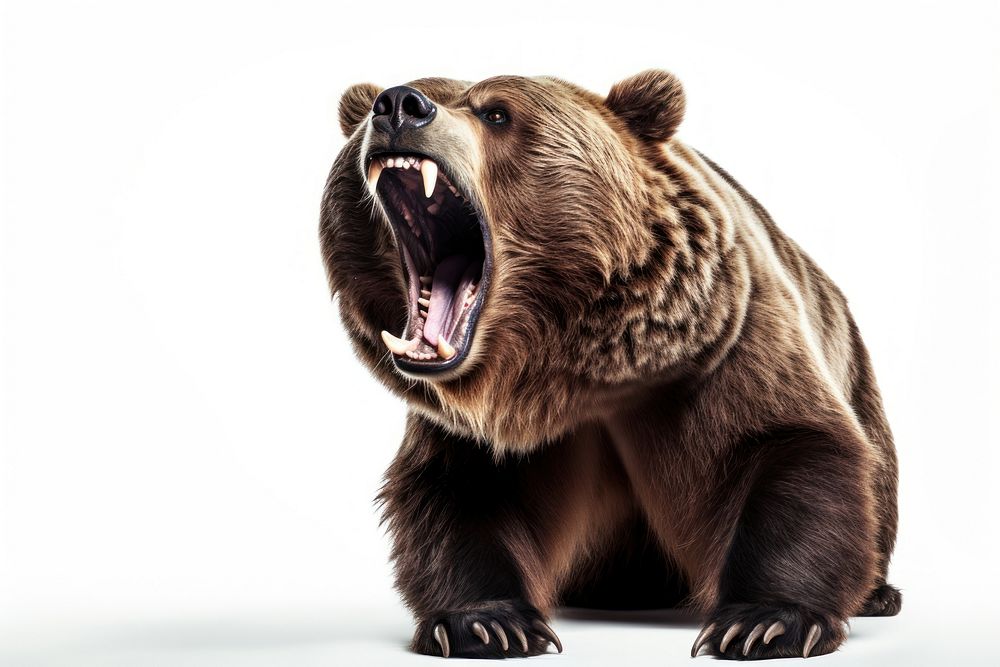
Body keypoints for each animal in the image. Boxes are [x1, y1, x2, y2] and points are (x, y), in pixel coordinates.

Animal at [320, 70, 900, 660]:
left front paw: (765, 622)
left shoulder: (723, 346)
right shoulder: (476, 425)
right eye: (379, 105)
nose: (398, 104)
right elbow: (456, 492)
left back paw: (878, 593)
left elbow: (790, 445)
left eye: (497, 113)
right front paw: (486, 624)